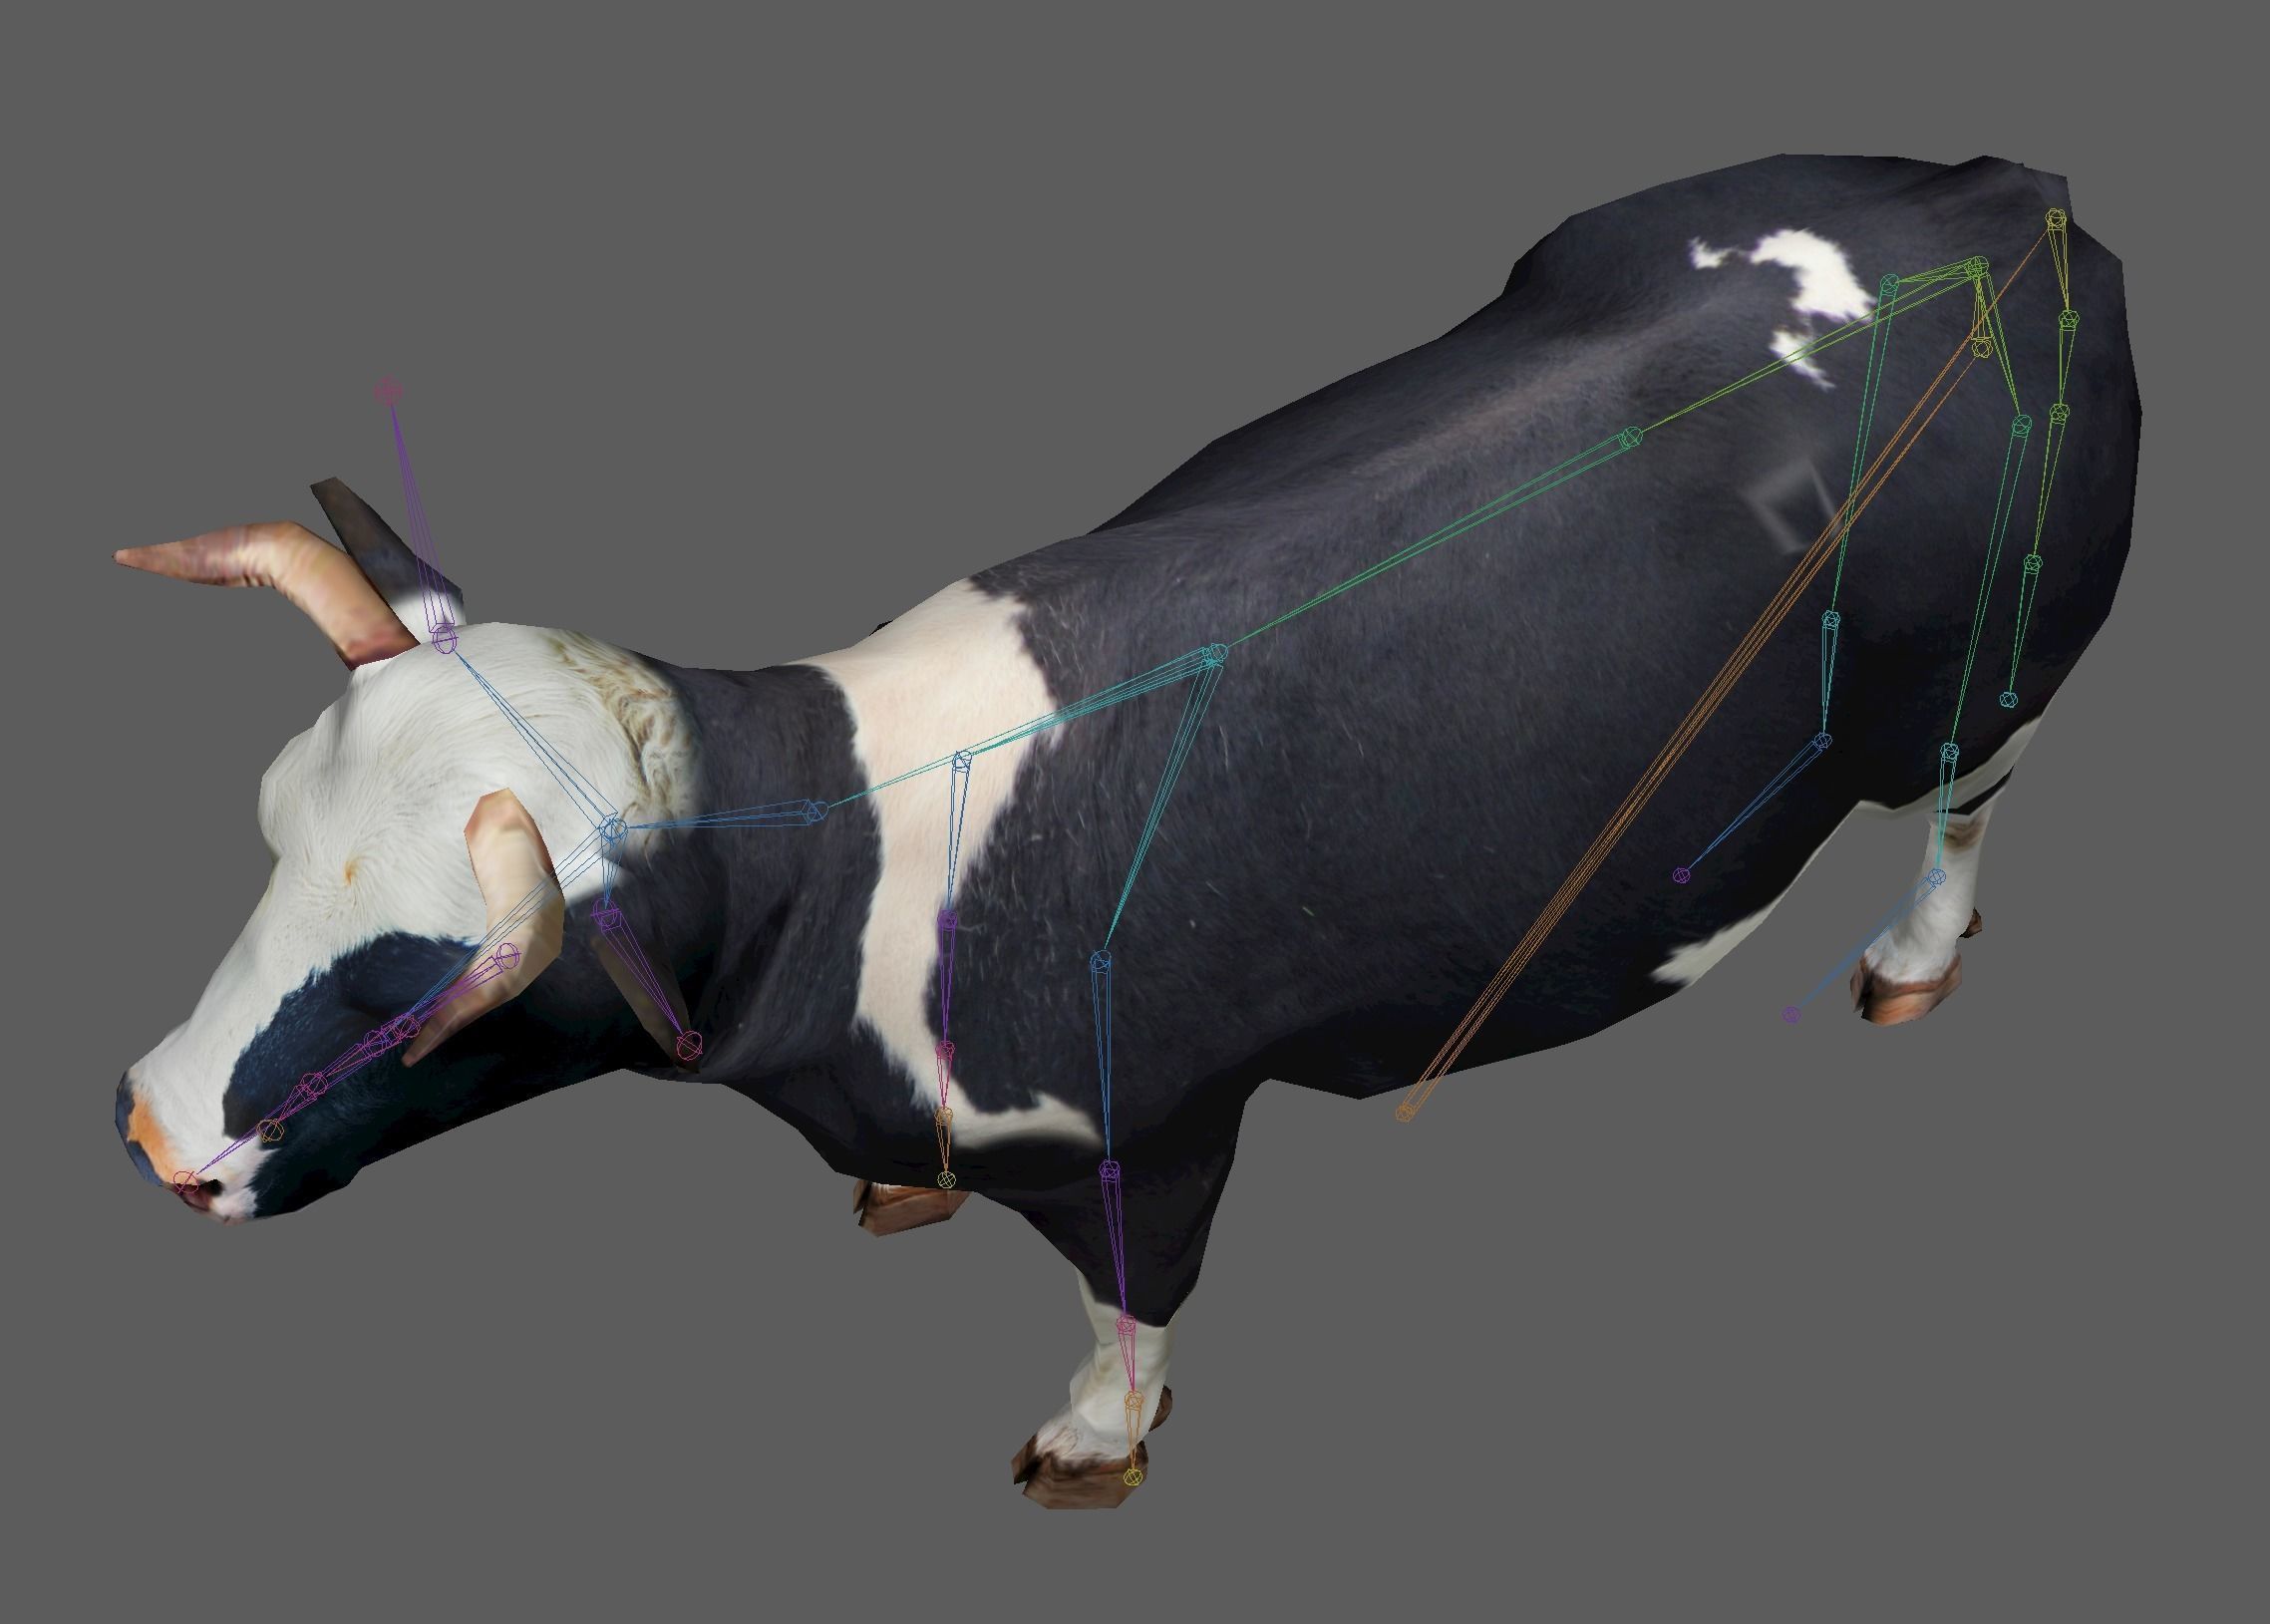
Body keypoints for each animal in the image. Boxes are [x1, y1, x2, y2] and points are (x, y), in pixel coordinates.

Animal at [114, 152, 2139, 1508]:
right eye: (274, 823)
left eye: (436, 975)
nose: (148, 1130)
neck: (837, 871)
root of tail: (1998, 190)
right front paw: (907, 1196)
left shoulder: (1153, 1122)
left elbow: (1131, 1297)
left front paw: (1096, 1433)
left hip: (2000, 666)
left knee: (1966, 810)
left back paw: (1912, 958)